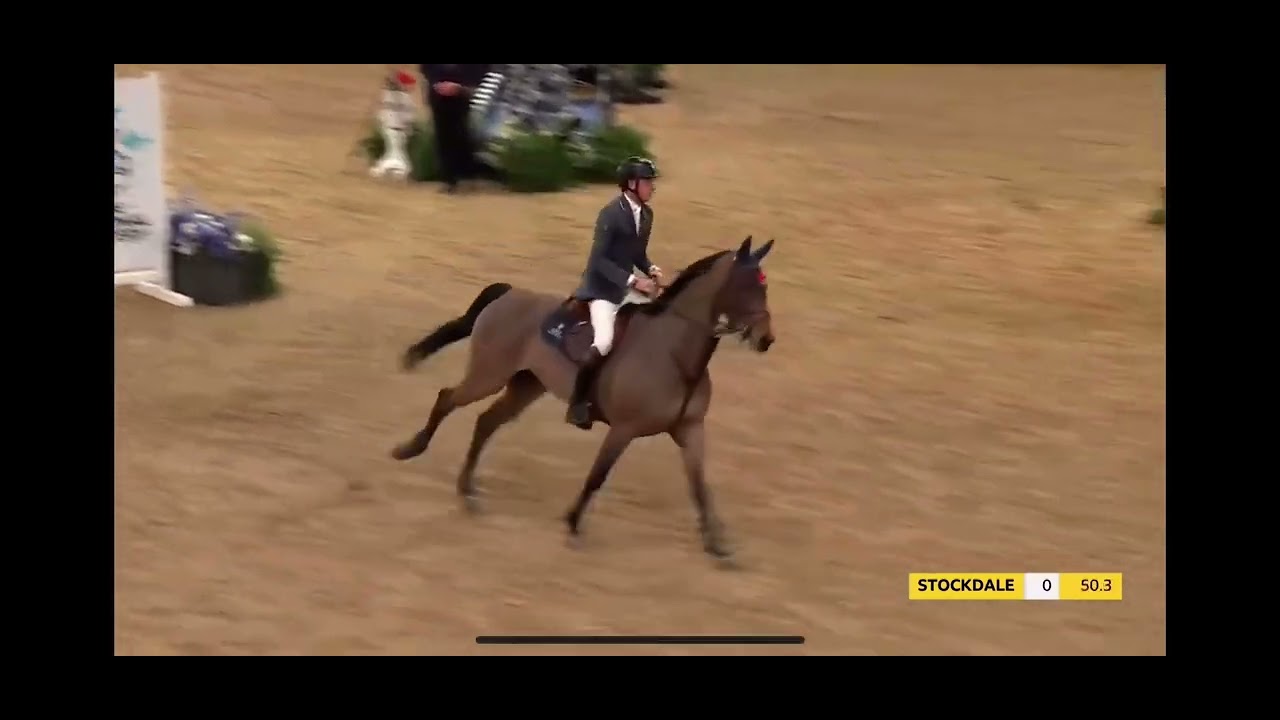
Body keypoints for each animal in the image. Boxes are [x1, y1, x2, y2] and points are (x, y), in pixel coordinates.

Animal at [391, 236, 776, 561]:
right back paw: (409, 450)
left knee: (486, 422)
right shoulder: (624, 429)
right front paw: (573, 524)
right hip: (489, 375)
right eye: (745, 286)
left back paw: (468, 492)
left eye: (765, 287)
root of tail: (510, 294)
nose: (766, 340)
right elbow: (597, 476)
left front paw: (717, 544)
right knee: (447, 398)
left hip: (526, 385)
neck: (676, 355)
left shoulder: (690, 429)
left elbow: (700, 487)